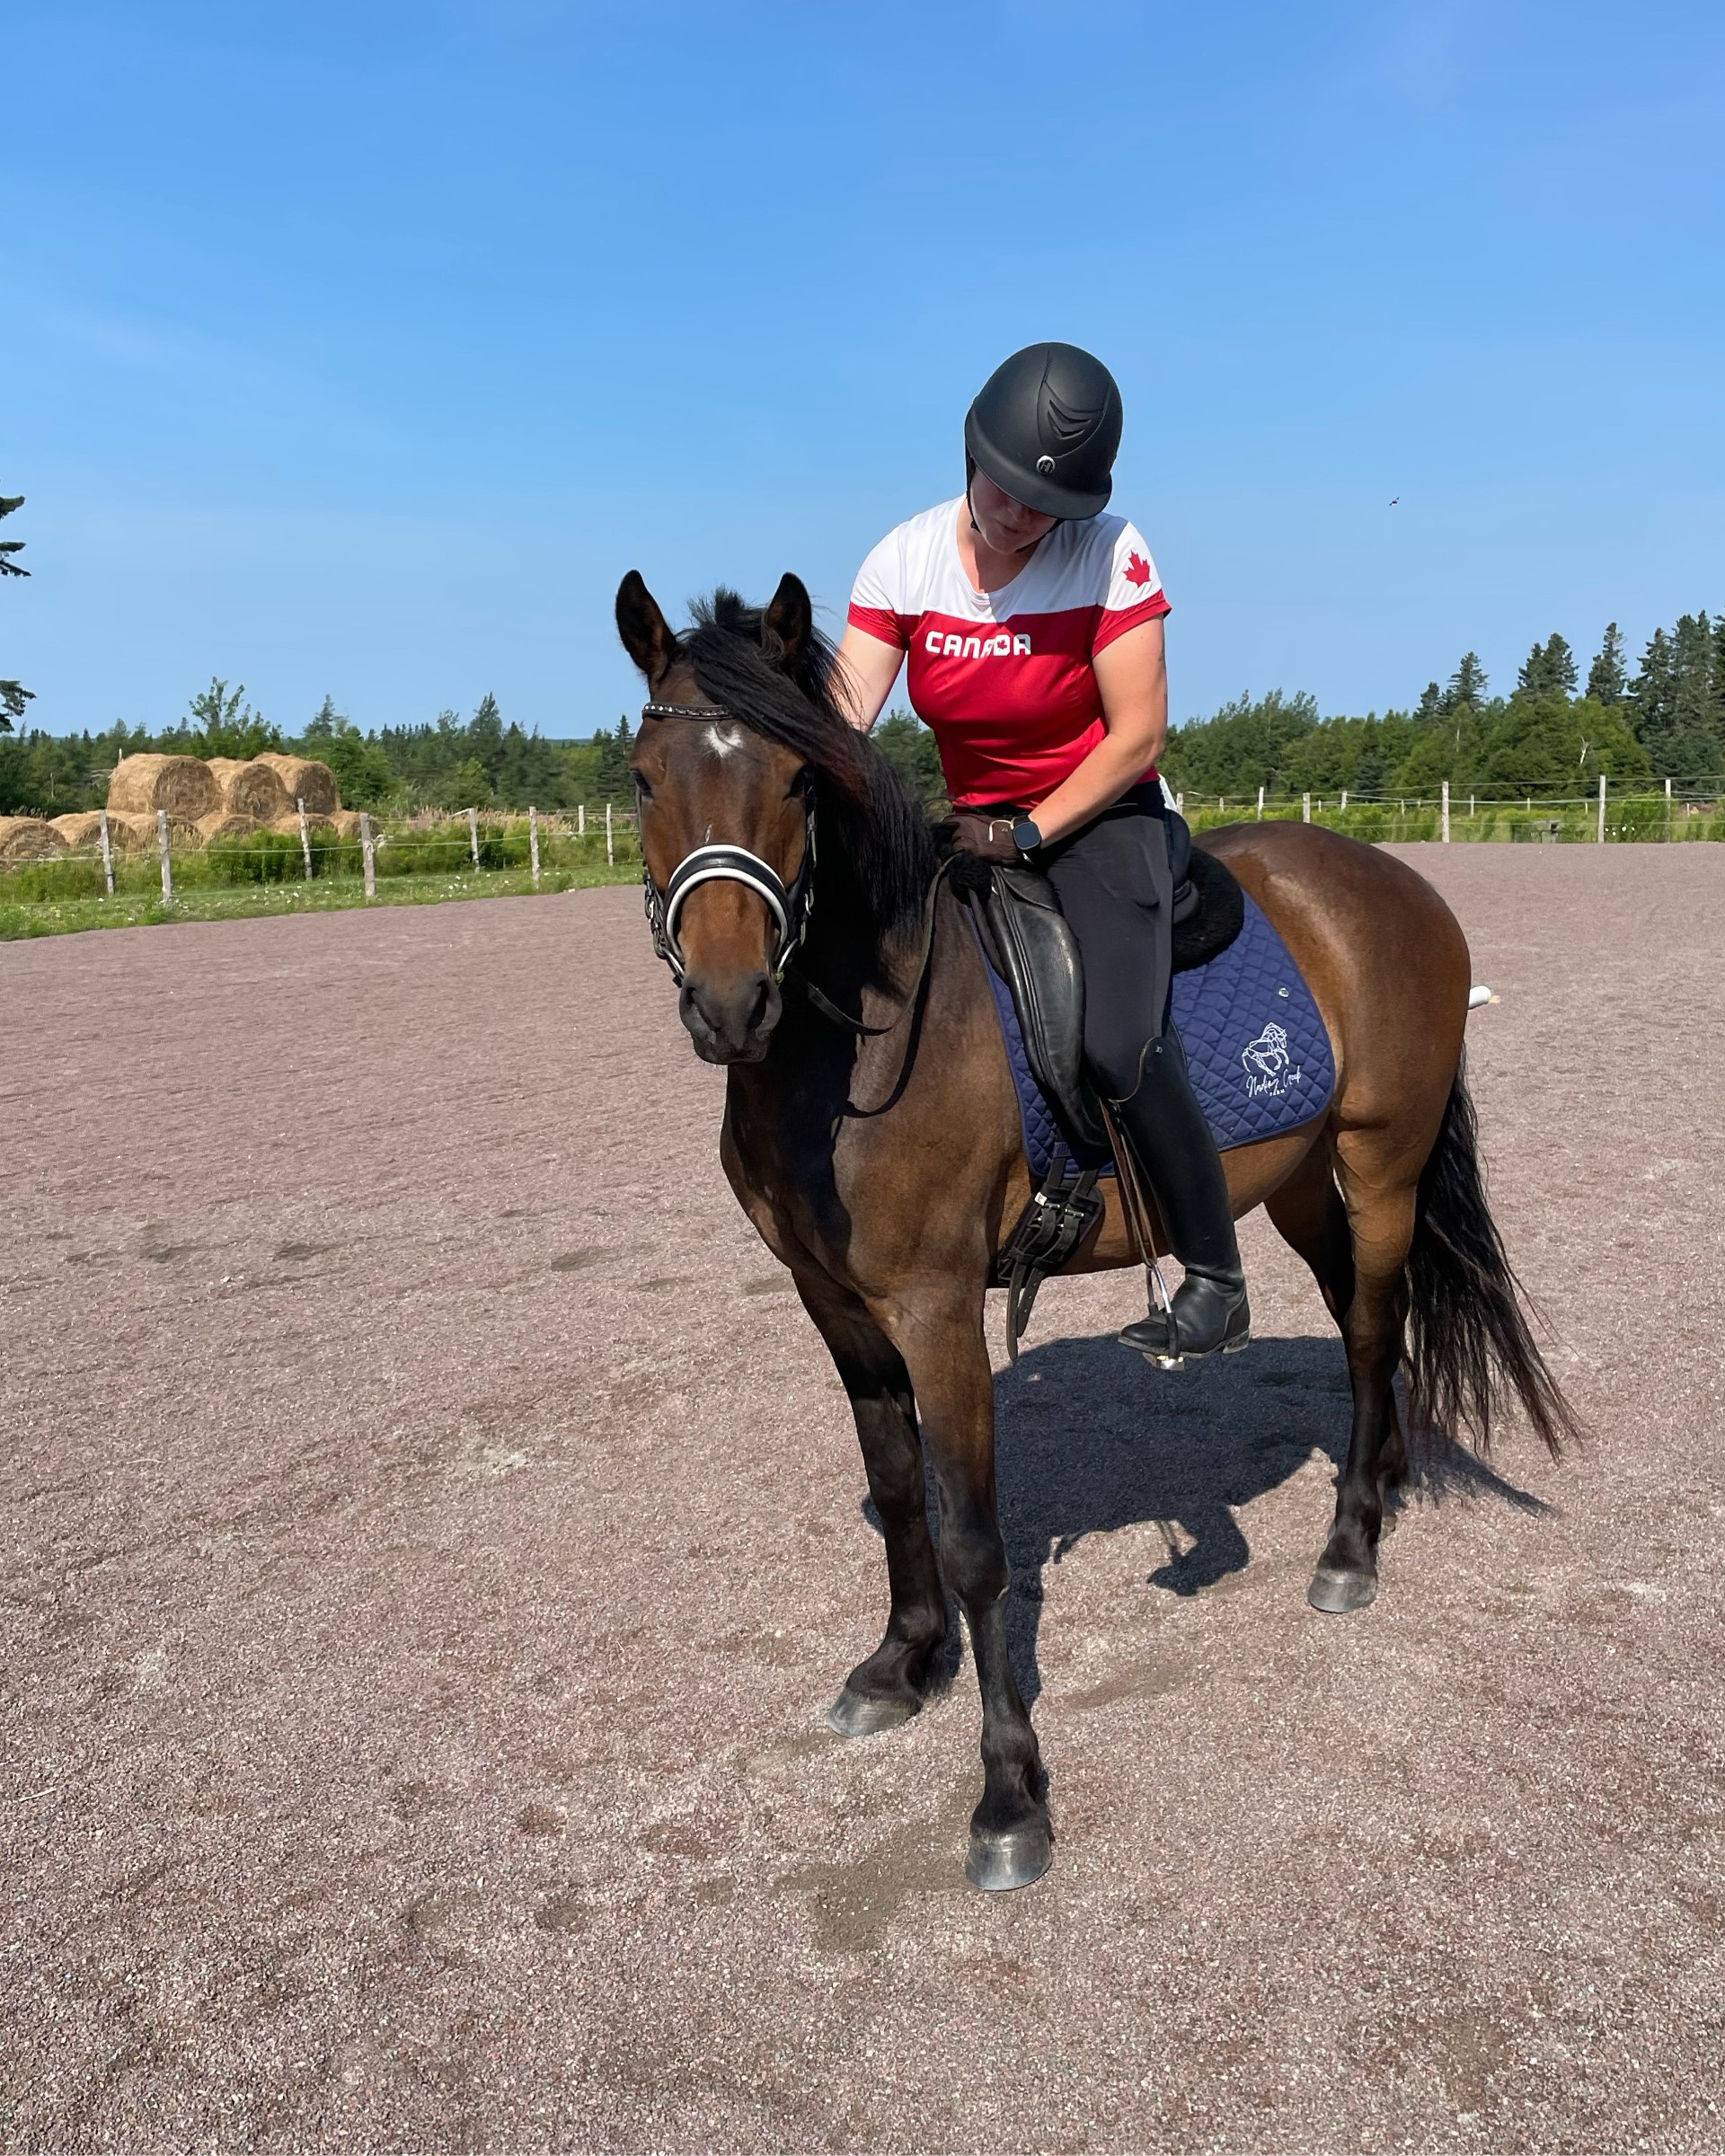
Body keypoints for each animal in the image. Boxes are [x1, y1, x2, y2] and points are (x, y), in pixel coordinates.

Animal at [615, 568, 1577, 1893]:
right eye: (642, 781)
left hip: (1382, 1164)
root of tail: (1394, 881)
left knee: (1379, 1330)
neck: (851, 1045)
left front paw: (1008, 1796)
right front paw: (901, 1665)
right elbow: (898, 1492)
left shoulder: (936, 1310)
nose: (728, 1002)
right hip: (1296, 1181)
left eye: (802, 782)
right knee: (1352, 1323)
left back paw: (1348, 1549)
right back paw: (1372, 1480)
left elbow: (975, 1539)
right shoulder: (838, 1307)